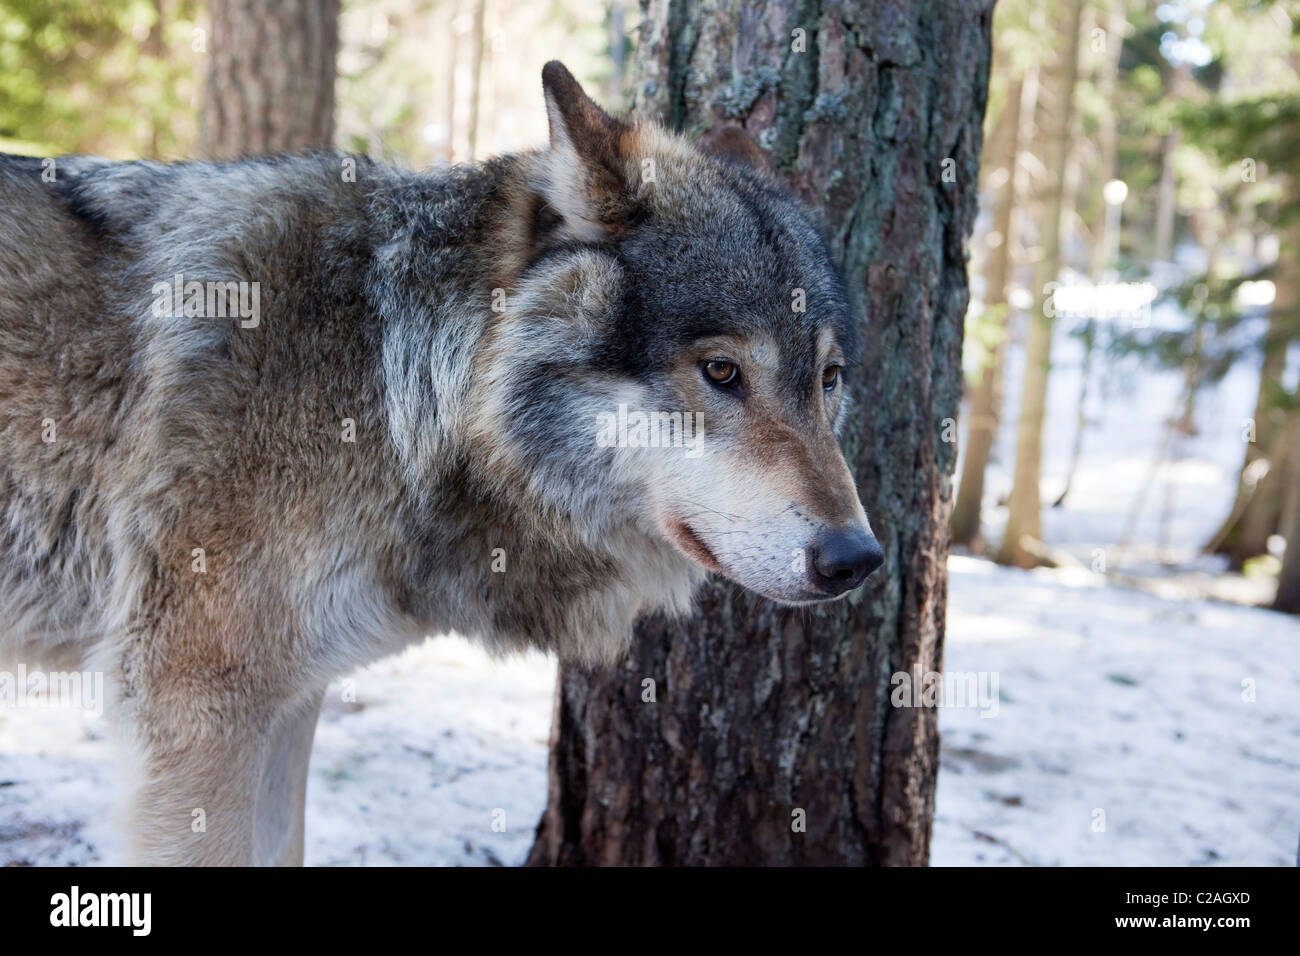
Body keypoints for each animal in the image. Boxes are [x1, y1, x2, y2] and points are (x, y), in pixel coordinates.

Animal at [0, 62, 883, 865]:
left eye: (828, 379)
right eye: (723, 371)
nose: (857, 559)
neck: (391, 379)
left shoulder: (289, 700)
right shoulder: (200, 708)